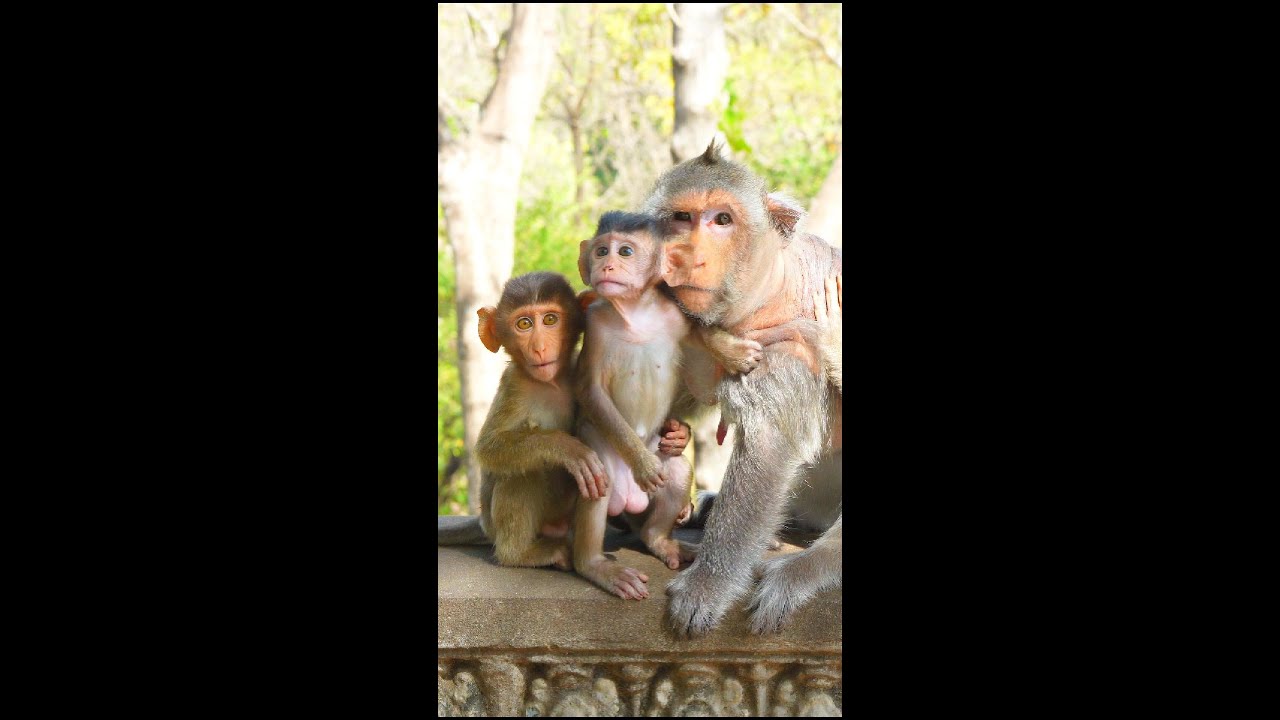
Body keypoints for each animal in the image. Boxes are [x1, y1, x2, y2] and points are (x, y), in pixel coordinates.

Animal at [571, 211, 764, 600]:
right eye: (600, 250)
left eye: (625, 251)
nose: (606, 265)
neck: (634, 312)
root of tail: (630, 500)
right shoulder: (595, 323)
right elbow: (591, 390)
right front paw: (643, 464)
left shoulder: (673, 314)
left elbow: (698, 332)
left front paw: (731, 353)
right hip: (606, 465)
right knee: (599, 481)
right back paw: (596, 566)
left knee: (676, 472)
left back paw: (660, 540)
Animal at [640, 139, 843, 636]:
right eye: (682, 218)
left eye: (722, 220)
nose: (687, 256)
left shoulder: (794, 346)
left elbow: (768, 449)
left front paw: (707, 584)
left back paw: (810, 565)